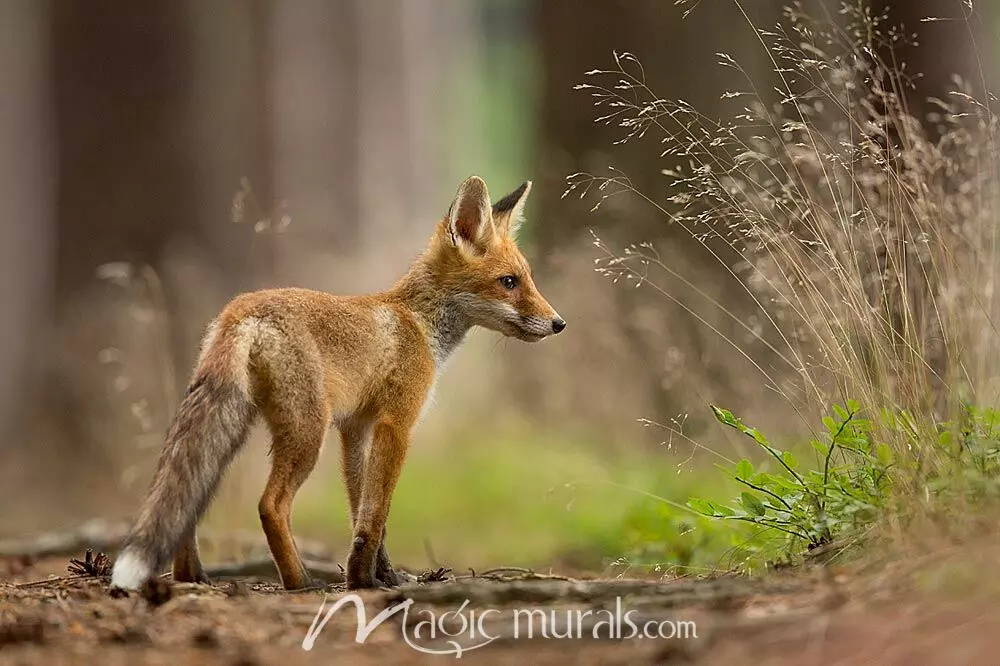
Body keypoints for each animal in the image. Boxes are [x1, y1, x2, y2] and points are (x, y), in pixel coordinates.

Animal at [110, 175, 564, 591]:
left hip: (234, 424)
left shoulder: (355, 428)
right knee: (270, 506)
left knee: (188, 502)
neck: (417, 322)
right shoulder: (396, 424)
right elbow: (376, 515)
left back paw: (192, 577)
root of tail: (241, 309)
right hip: (306, 433)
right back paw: (300, 581)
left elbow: (361, 513)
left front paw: (383, 575)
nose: (559, 323)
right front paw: (364, 581)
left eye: (527, 278)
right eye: (509, 282)